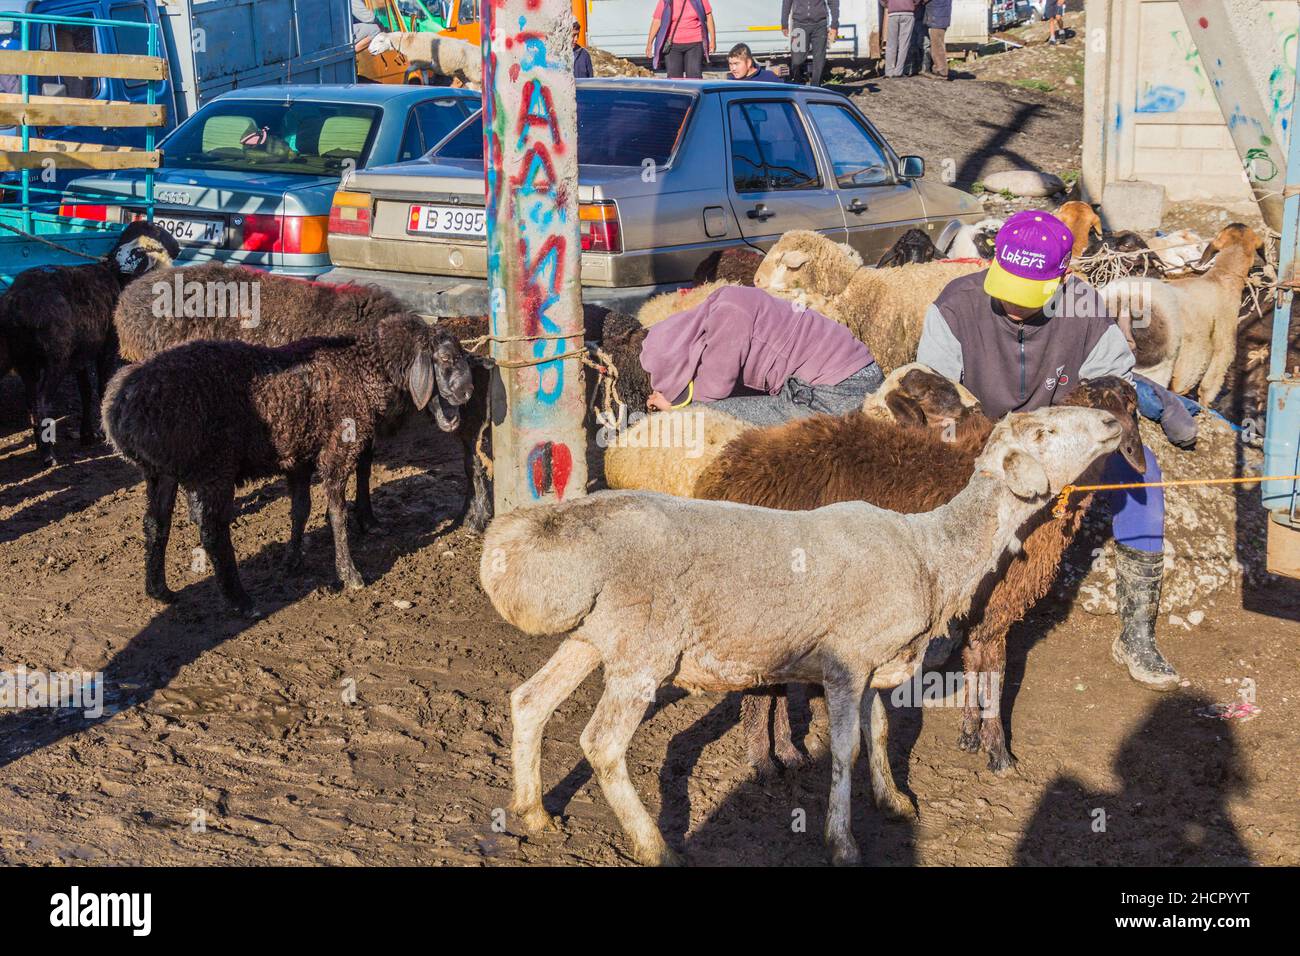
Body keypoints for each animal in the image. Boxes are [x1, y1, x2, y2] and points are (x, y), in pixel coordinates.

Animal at [0, 221, 180, 467]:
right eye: (158, 231)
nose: (178, 249)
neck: (119, 276)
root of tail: (16, 301)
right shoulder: (107, 348)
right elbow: (102, 386)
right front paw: (102, 431)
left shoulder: (83, 353)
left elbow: (85, 390)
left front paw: (87, 434)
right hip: (55, 358)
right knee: (43, 400)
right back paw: (48, 454)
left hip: (25, 360)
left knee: (31, 401)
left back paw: (40, 445)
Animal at [103, 313, 473, 615]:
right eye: (445, 358)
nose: (467, 392)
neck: (365, 367)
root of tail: (122, 407)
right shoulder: (337, 450)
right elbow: (335, 513)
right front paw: (349, 574)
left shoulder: (298, 456)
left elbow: (300, 509)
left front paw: (292, 559)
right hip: (214, 469)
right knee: (212, 532)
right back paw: (240, 600)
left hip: (160, 472)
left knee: (155, 524)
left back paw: (159, 590)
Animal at [483, 404, 1125, 865]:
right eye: (1044, 431)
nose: (1113, 423)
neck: (931, 552)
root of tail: (544, 534)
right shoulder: (845, 663)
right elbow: (844, 750)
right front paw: (842, 842)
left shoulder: (874, 665)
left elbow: (879, 730)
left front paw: (894, 801)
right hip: (643, 651)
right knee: (601, 743)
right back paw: (653, 845)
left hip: (593, 638)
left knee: (529, 700)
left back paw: (532, 813)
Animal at [694, 370, 1144, 775]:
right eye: (1053, 423)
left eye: (1125, 405)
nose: (1112, 429)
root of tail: (723, 472)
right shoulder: (997, 605)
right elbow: (994, 670)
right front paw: (998, 751)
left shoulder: (978, 605)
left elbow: (975, 660)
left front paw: (970, 734)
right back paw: (762, 760)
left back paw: (788, 752)